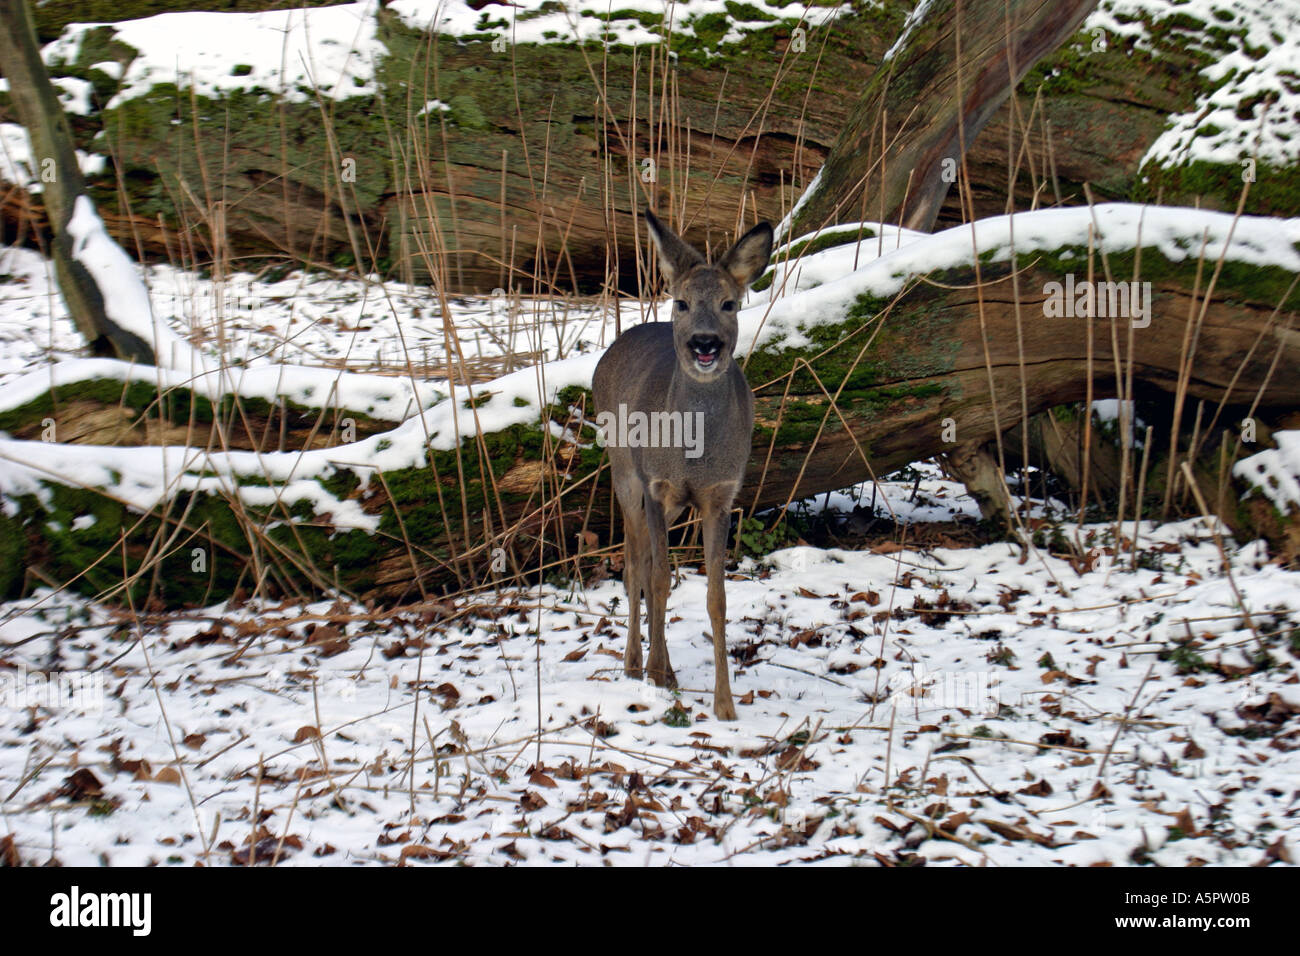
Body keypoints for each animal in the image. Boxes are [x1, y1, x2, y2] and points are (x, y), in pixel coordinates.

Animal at [592, 209, 773, 720]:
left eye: (730, 304)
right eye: (682, 303)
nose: (704, 343)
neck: (694, 451)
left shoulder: (720, 496)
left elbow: (716, 598)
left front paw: (725, 705)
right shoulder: (655, 485)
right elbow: (657, 580)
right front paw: (656, 672)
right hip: (624, 472)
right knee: (634, 566)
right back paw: (637, 664)